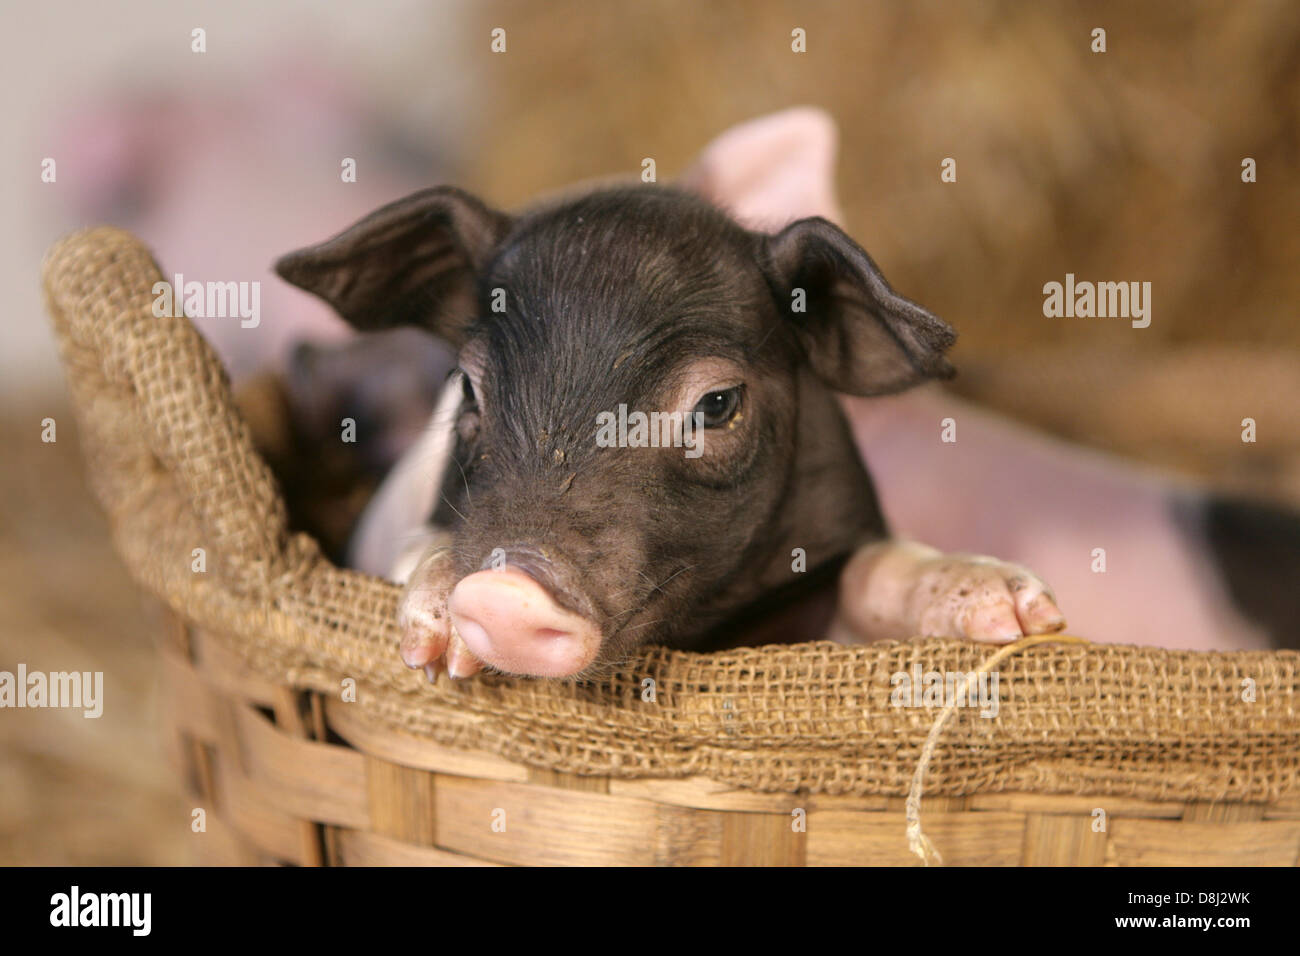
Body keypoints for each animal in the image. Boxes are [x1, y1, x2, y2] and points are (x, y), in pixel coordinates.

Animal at [274, 181, 1068, 680]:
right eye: (469, 385)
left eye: (715, 404)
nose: (506, 590)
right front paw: (439, 639)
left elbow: (871, 567)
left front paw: (1024, 616)